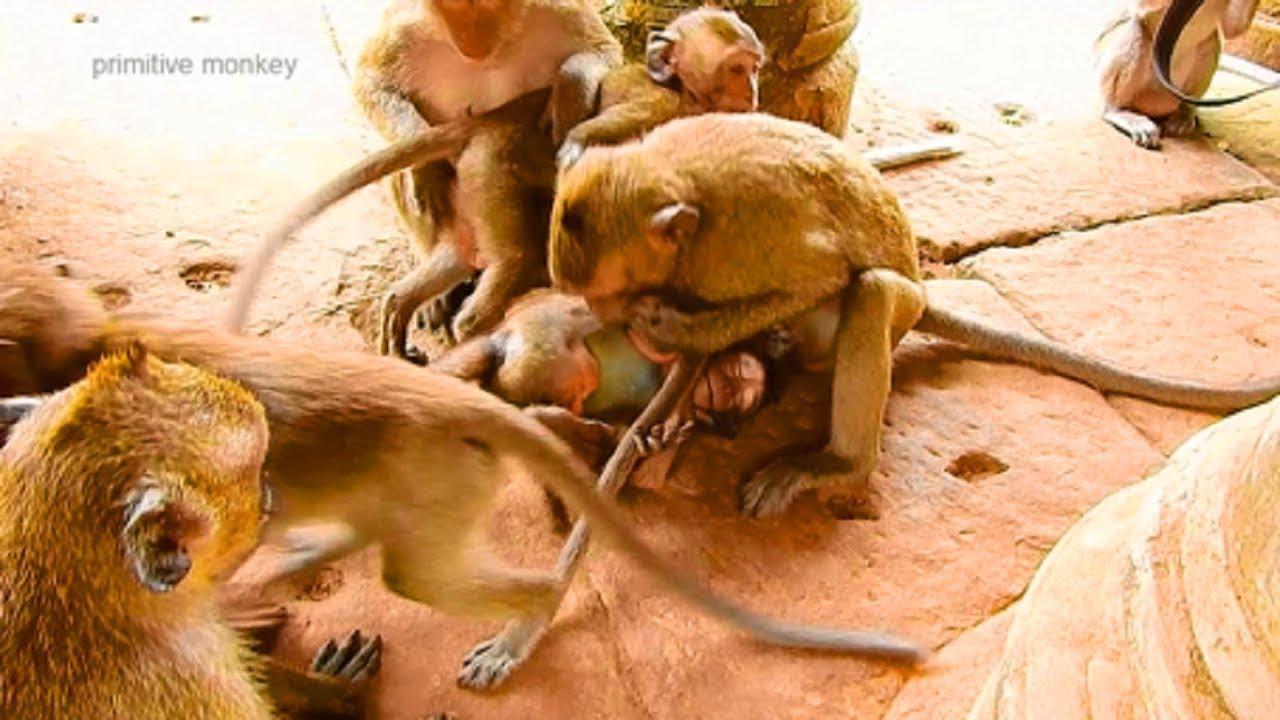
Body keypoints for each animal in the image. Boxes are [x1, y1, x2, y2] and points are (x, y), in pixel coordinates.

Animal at [545, 111, 1280, 521]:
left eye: (609, 297)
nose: (605, 317)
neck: (670, 178)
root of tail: (926, 296)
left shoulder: (734, 252)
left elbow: (819, 275)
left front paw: (672, 330)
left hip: (897, 307)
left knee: (870, 292)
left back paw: (839, 464)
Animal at [1094, 0, 1264, 148]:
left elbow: (1233, 28)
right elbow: (1138, 7)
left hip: (1171, 95)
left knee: (1210, 43)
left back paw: (1184, 113)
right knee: (1136, 27)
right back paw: (1117, 110)